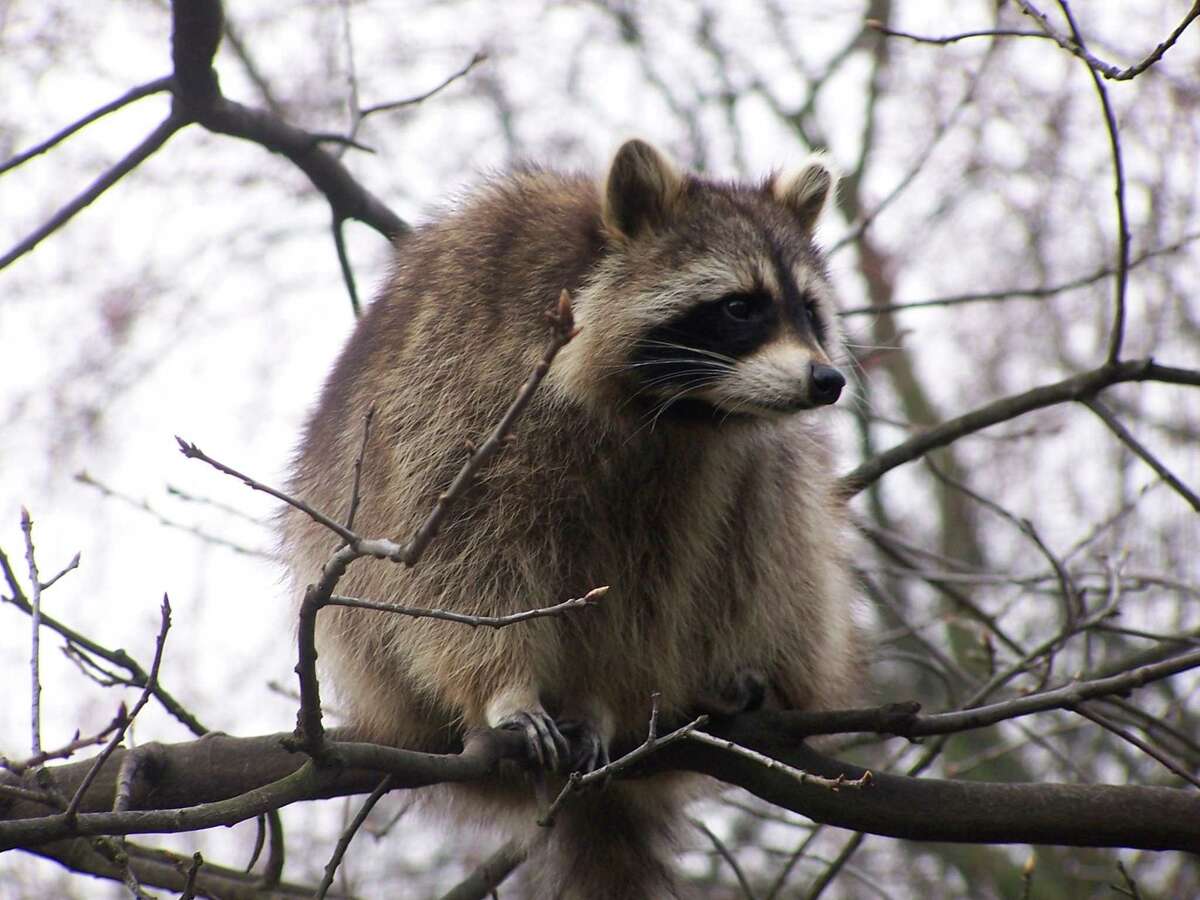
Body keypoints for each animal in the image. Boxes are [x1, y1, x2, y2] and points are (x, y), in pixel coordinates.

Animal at [280, 139, 864, 898]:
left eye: (809, 311)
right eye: (741, 308)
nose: (828, 379)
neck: (673, 408)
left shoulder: (691, 480)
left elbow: (647, 598)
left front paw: (600, 697)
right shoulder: (462, 408)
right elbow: (459, 571)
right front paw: (503, 688)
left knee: (773, 519)